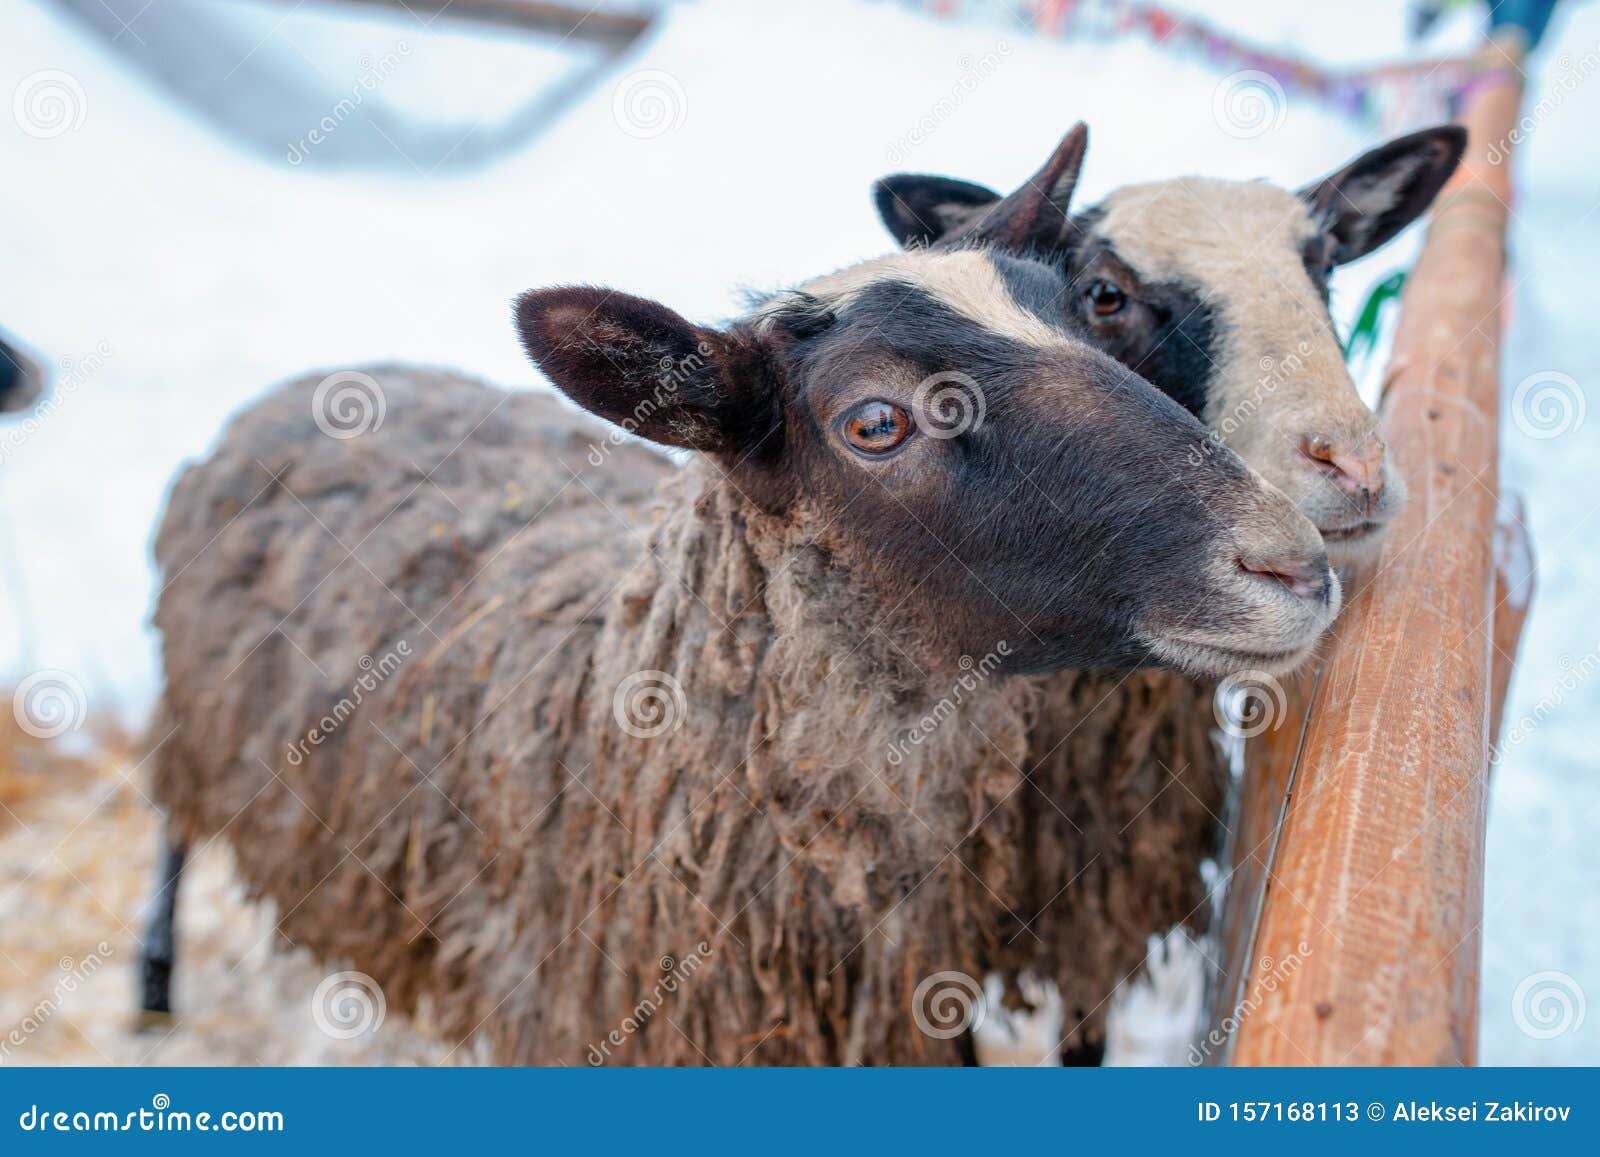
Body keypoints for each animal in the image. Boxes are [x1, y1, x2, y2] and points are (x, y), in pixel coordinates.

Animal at [140, 234, 1340, 1064]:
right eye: (875, 423)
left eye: (1086, 316)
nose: (1295, 564)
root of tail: (316, 380)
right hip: (192, 721)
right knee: (171, 836)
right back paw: (151, 994)